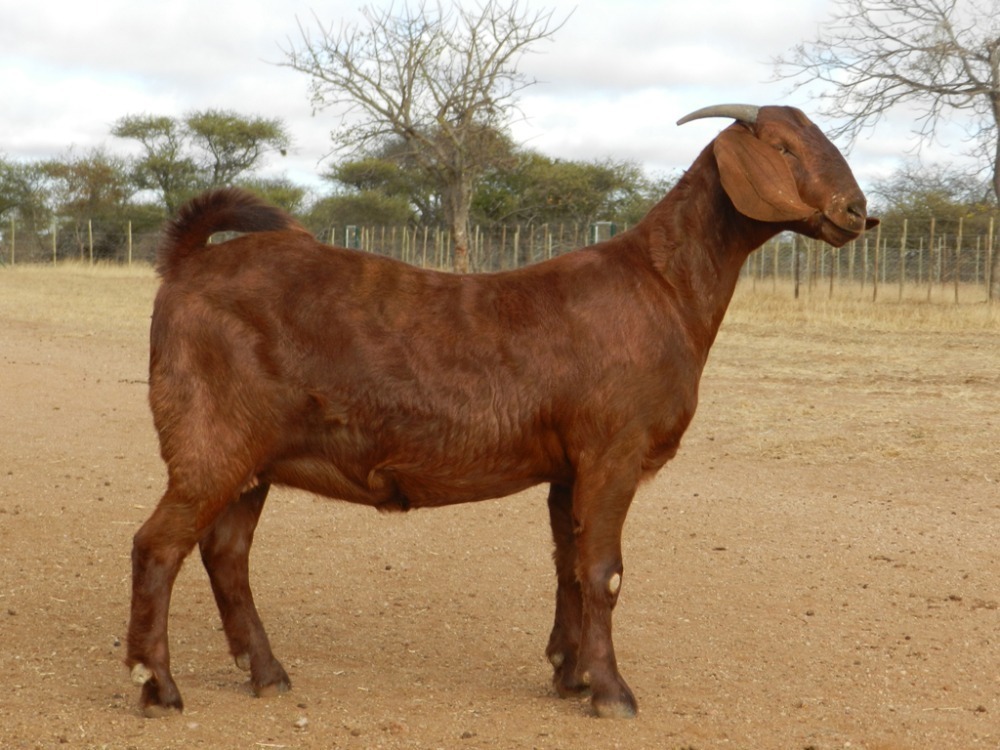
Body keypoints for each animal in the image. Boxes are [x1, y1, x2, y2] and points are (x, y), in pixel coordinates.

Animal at [126, 104, 877, 719]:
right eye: (782, 147)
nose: (857, 212)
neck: (661, 287)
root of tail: (186, 265)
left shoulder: (570, 468)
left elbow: (568, 564)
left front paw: (570, 675)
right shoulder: (613, 451)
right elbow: (604, 571)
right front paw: (612, 694)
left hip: (253, 457)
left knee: (225, 552)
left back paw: (268, 674)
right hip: (209, 438)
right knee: (158, 545)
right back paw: (158, 685)